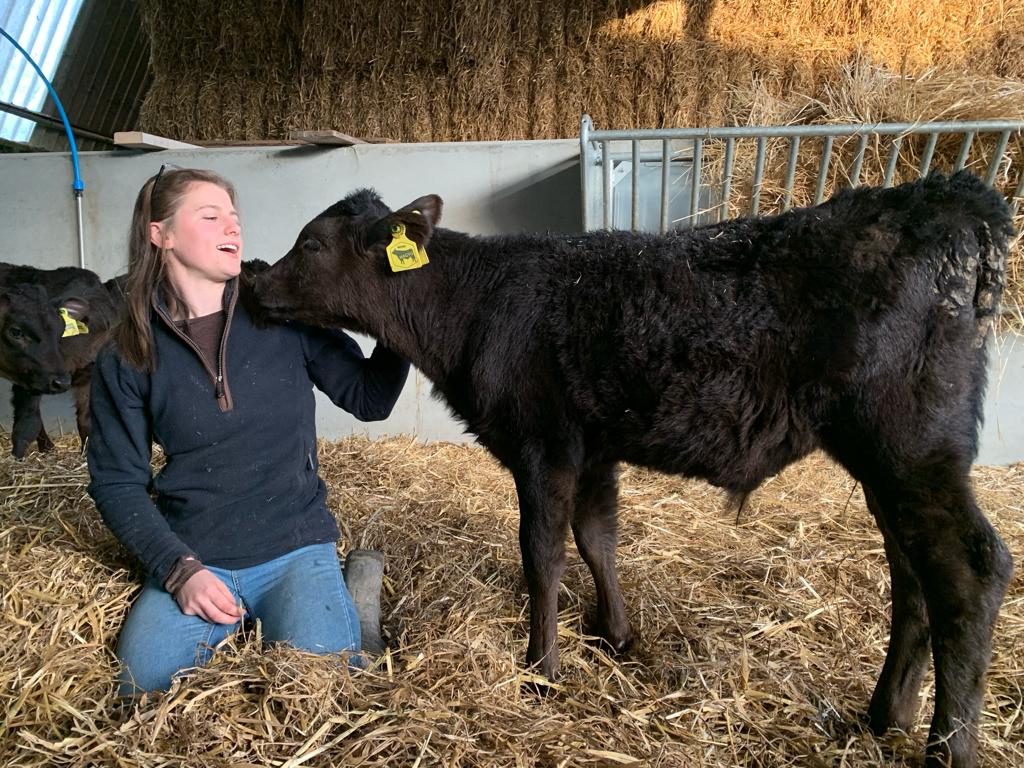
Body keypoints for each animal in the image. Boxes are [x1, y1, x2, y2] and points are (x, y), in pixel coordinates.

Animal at [0, 264, 122, 458]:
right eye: (17, 332)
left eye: (60, 328)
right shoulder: (30, 376)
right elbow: (28, 423)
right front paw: (19, 456)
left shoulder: (88, 375)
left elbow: (85, 419)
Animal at [248, 171, 1014, 768]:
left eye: (311, 243)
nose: (253, 276)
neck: (476, 306)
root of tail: (945, 195)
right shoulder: (593, 446)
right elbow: (598, 538)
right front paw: (615, 636)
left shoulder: (543, 442)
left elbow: (543, 554)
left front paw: (541, 669)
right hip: (889, 461)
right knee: (912, 570)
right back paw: (885, 715)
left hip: (910, 442)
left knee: (970, 568)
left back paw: (949, 746)